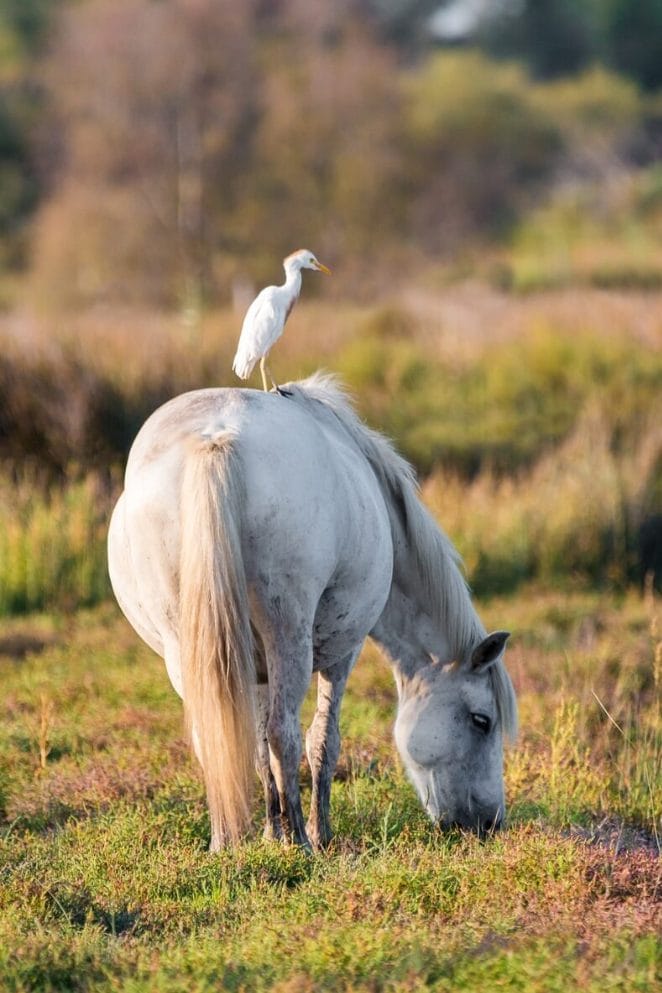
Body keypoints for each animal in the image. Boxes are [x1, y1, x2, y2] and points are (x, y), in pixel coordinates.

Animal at [108, 374, 517, 850]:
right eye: (481, 721)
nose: (489, 823)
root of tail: (217, 440)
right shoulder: (343, 653)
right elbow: (322, 740)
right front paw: (318, 834)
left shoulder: (254, 669)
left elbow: (256, 745)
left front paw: (271, 832)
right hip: (290, 636)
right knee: (285, 733)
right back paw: (302, 840)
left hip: (186, 651)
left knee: (222, 735)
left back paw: (228, 842)